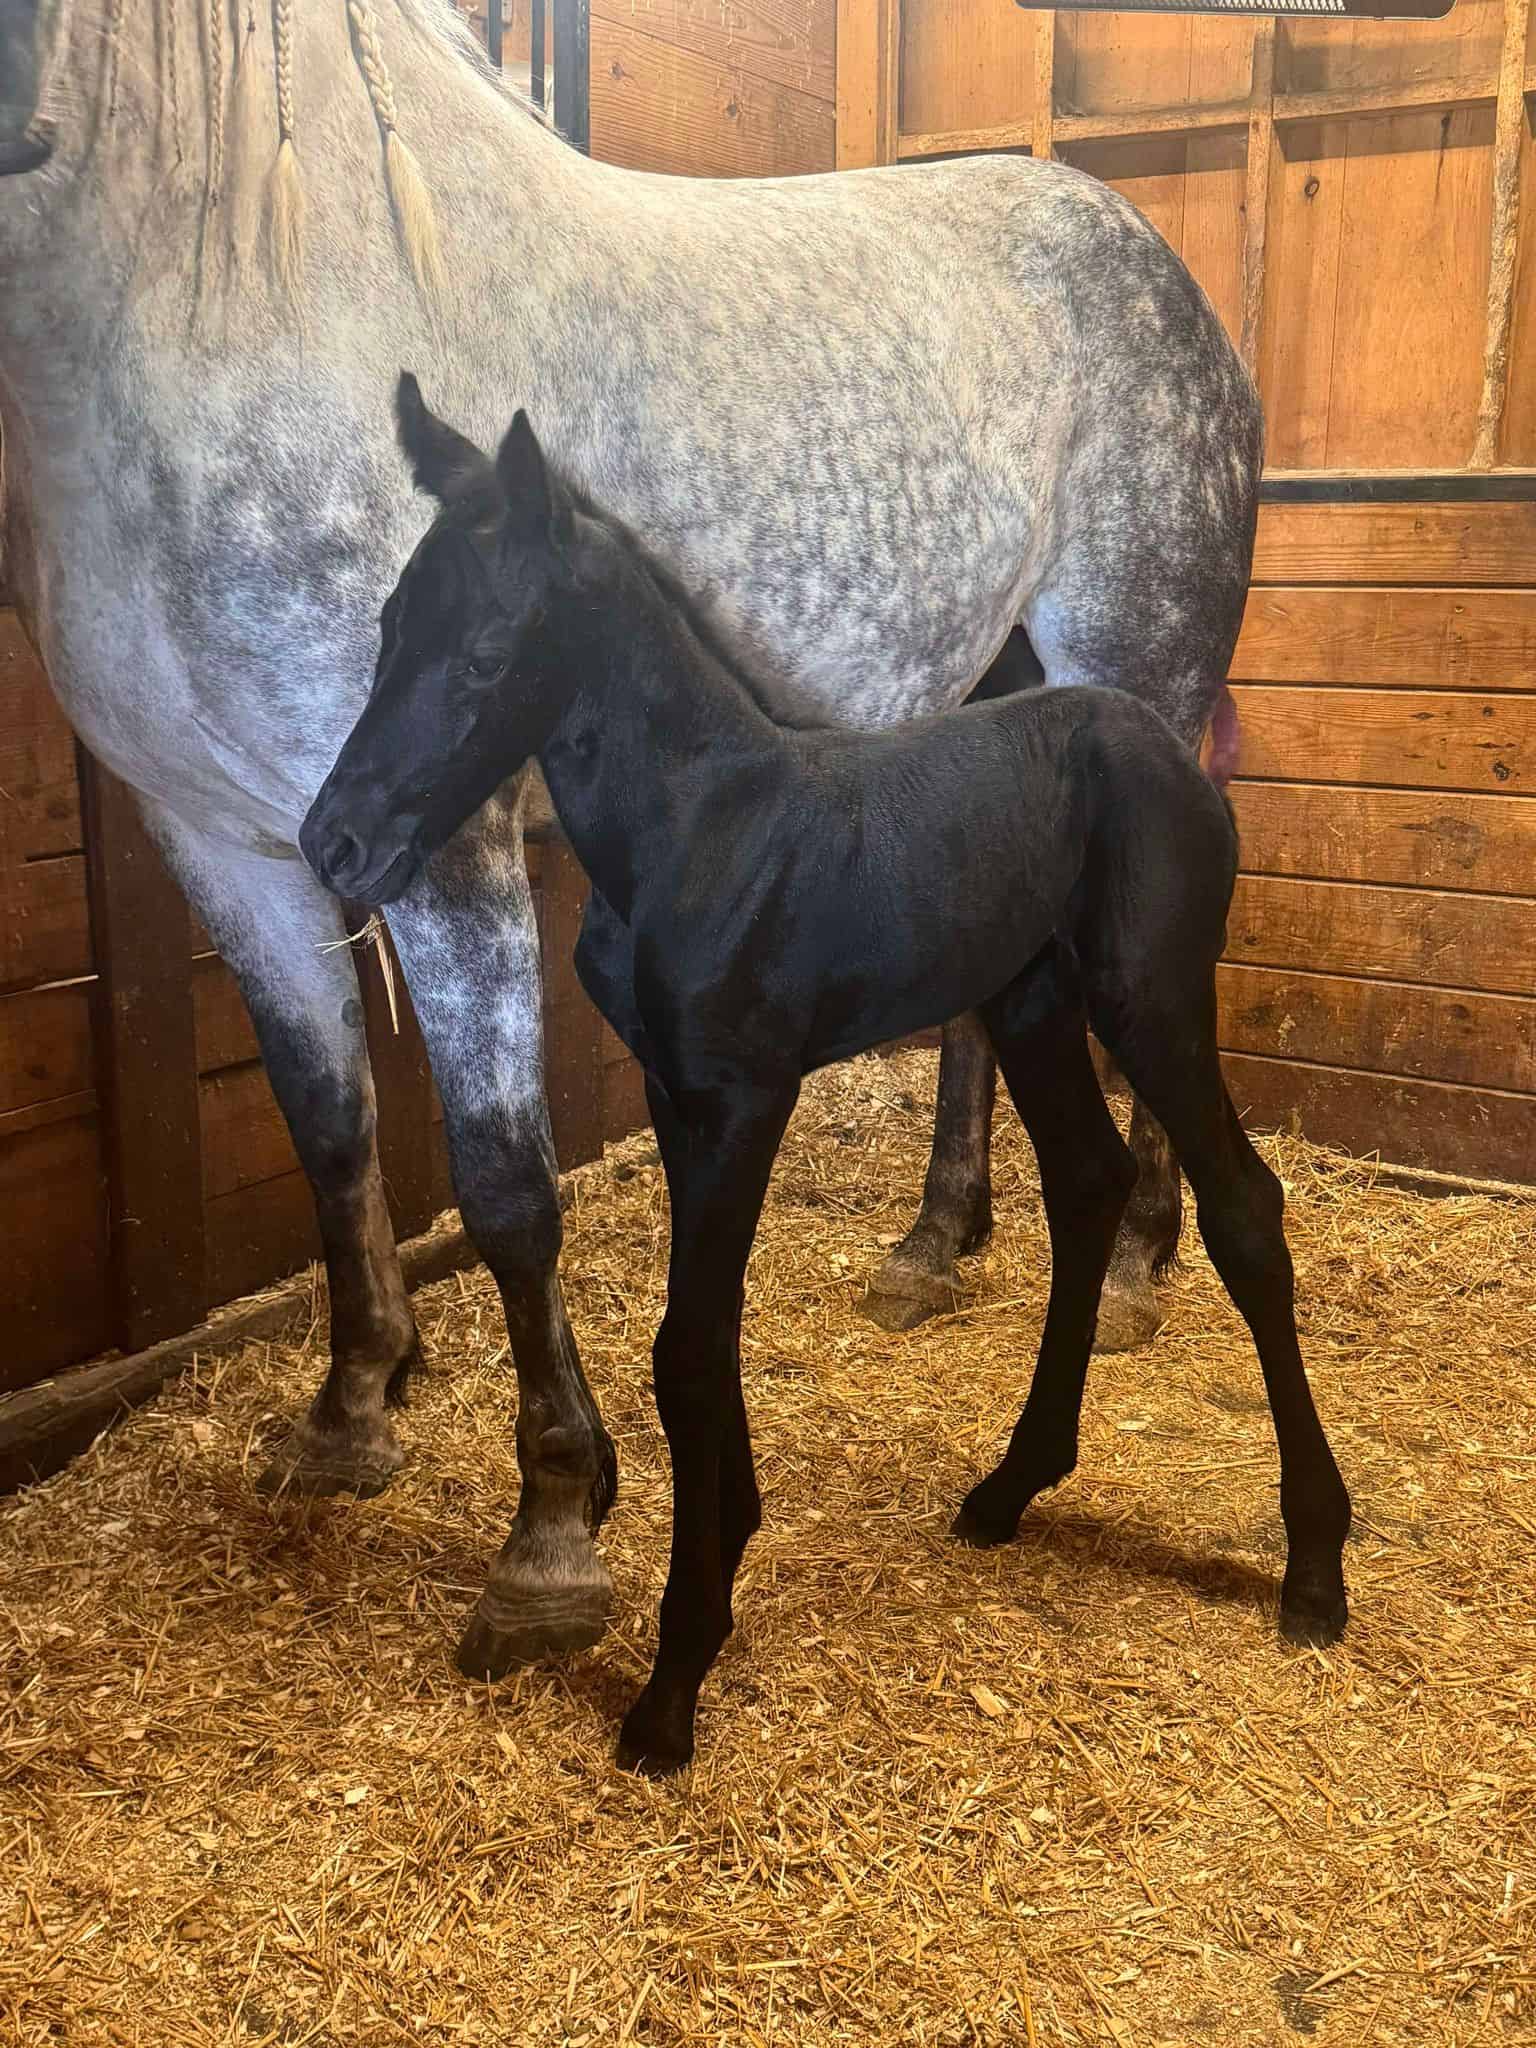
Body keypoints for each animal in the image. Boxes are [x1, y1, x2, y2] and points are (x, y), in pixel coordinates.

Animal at [0, 0, 1262, 1682]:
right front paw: (349, 1414)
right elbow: (330, 1130)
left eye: (476, 652)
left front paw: (551, 1536)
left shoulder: (442, 843)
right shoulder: (228, 844)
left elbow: (504, 1184)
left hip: (1141, 678)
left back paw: (1134, 1267)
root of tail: (1169, 278)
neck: (210, 272)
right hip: (991, 711)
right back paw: (935, 1245)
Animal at [300, 383, 1349, 1775]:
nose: (334, 840)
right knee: (1086, 1179)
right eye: (385, 626)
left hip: (1154, 999)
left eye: (483, 653)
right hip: (1031, 1000)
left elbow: (689, 1346)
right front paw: (730, 1538)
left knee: (1243, 1208)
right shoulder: (679, 1096)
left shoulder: (746, 1091)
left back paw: (1316, 1566)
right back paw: (1012, 1484)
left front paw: (676, 1673)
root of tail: (1170, 748)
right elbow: (705, 1328)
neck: (695, 826)